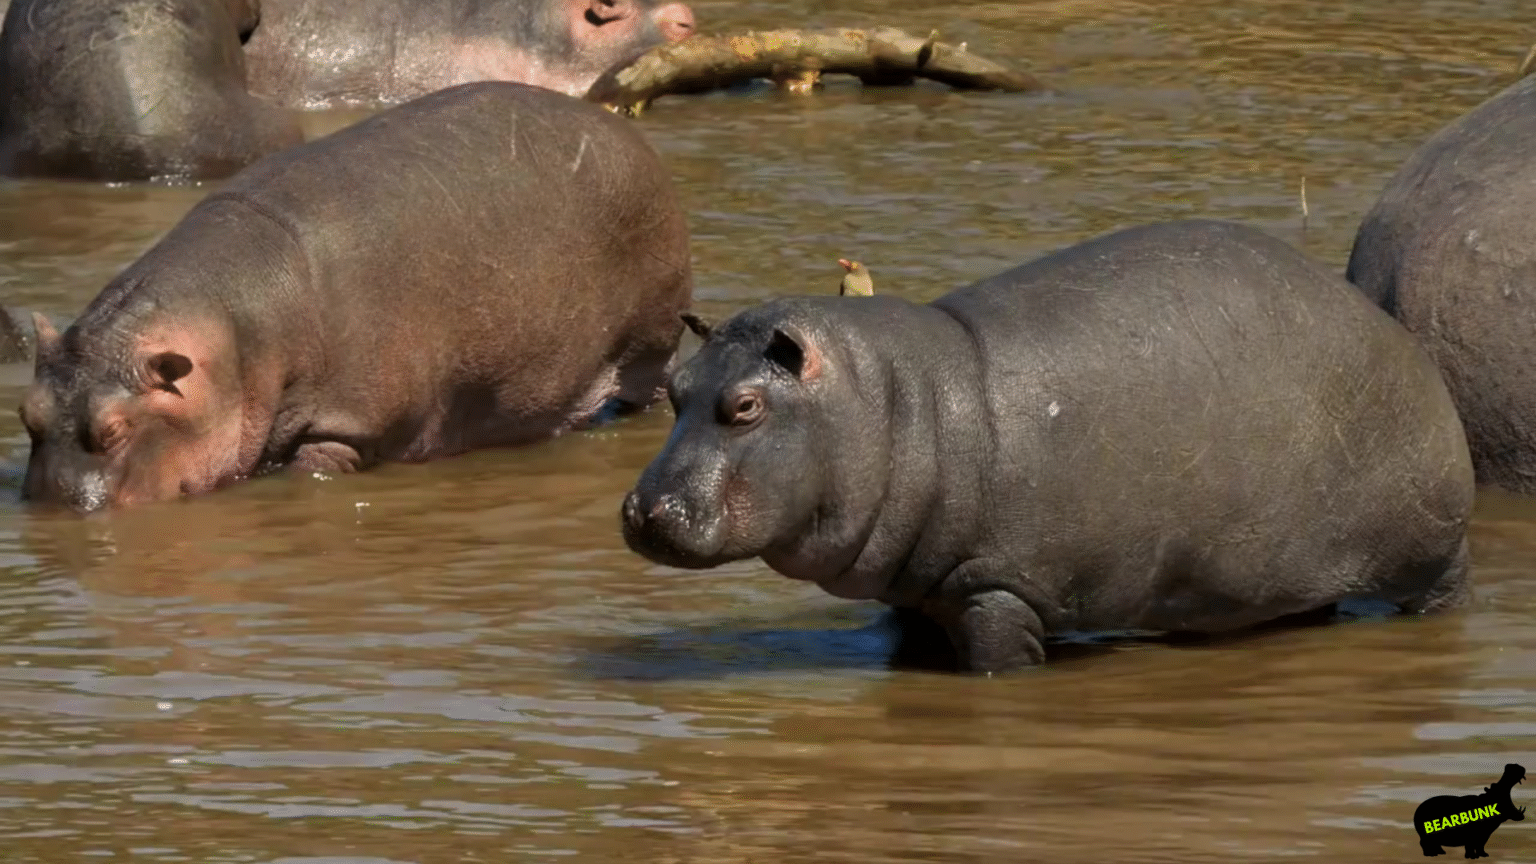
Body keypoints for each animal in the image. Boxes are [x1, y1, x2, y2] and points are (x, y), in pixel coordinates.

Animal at [20, 80, 691, 512]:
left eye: (113, 430)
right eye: (27, 414)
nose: (52, 513)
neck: (233, 342)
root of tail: (628, 134)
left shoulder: (346, 429)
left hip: (649, 345)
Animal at [622, 219, 1473, 674]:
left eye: (745, 405)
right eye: (675, 387)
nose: (641, 510)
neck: (899, 406)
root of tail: (1386, 325)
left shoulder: (998, 591)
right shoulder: (918, 595)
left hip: (1429, 553)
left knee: (1442, 592)